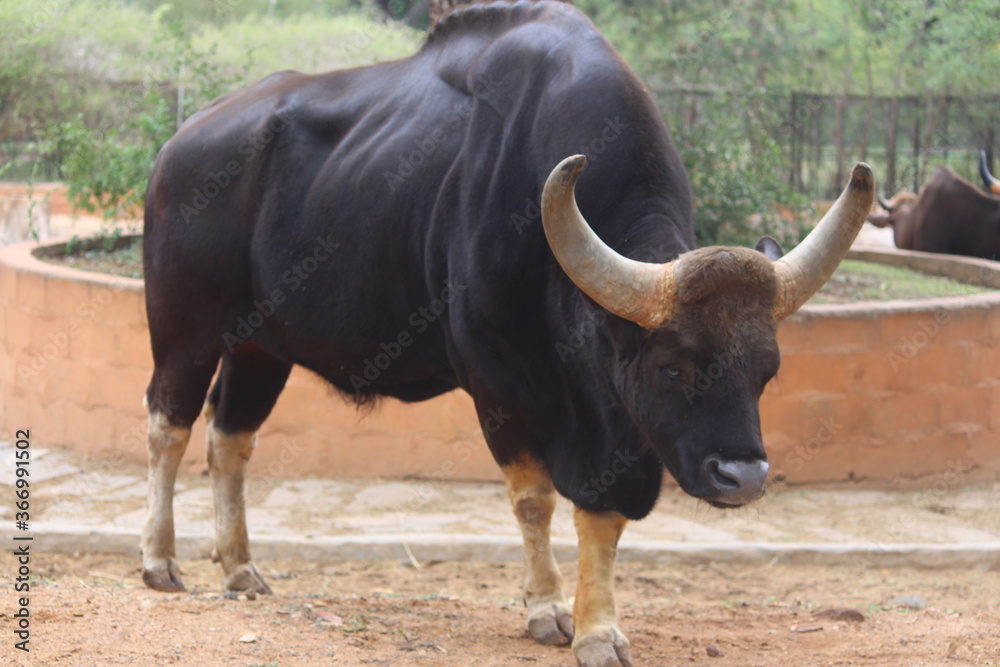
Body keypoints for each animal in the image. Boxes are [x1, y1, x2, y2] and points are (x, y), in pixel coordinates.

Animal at [140, 2, 873, 665]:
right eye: (672, 367)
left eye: (767, 372)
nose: (742, 476)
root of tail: (177, 148)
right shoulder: (497, 385)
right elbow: (534, 499)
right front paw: (548, 608)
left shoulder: (614, 424)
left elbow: (603, 513)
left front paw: (599, 628)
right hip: (184, 329)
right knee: (169, 425)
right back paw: (160, 561)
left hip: (259, 348)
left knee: (230, 438)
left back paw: (240, 568)